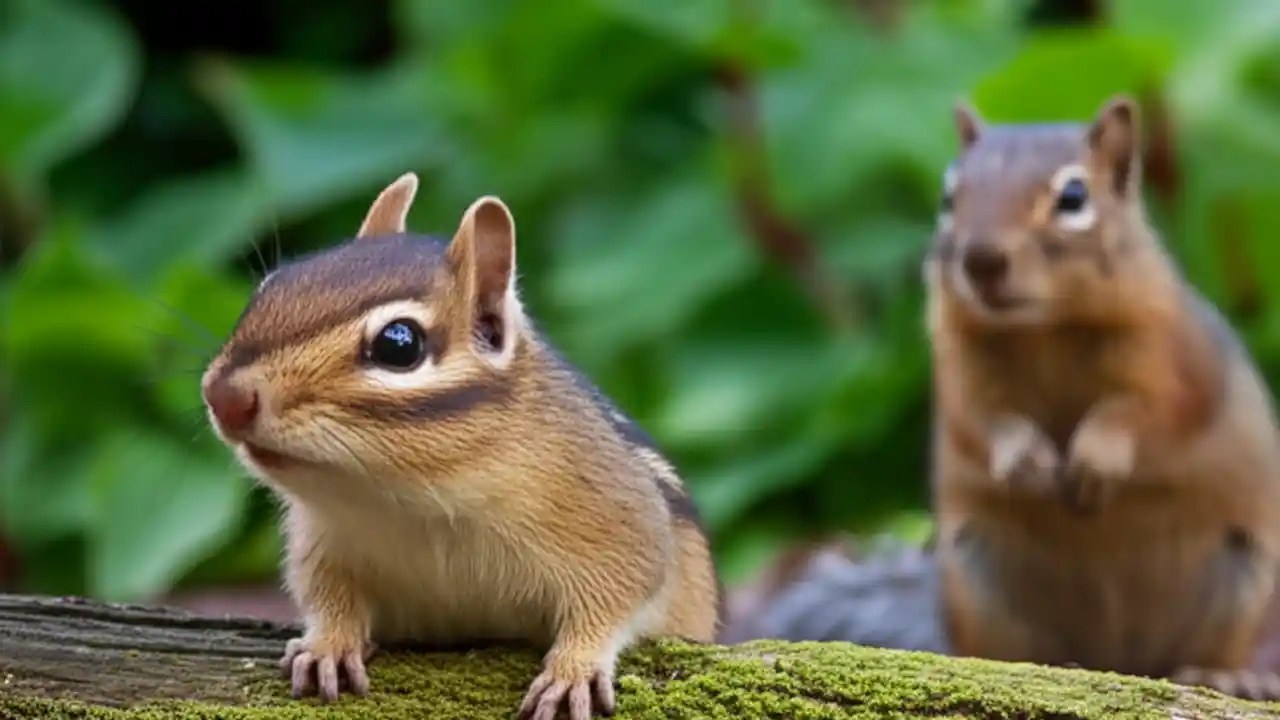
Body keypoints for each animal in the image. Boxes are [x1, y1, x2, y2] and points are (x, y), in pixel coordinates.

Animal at [200, 174, 721, 720]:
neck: (415, 499)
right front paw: (326, 646)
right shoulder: (322, 544)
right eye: (271, 284)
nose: (223, 397)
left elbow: (619, 593)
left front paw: (573, 670)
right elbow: (327, 595)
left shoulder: (621, 523)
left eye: (399, 343)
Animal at [728, 96, 1280, 702]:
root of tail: (1119, 662)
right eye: (949, 197)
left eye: (1074, 197)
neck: (1044, 329)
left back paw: (1225, 676)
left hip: (1245, 582)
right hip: (979, 588)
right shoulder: (961, 373)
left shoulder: (1173, 361)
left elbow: (1143, 411)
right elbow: (983, 421)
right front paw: (1025, 462)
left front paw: (1094, 459)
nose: (982, 260)